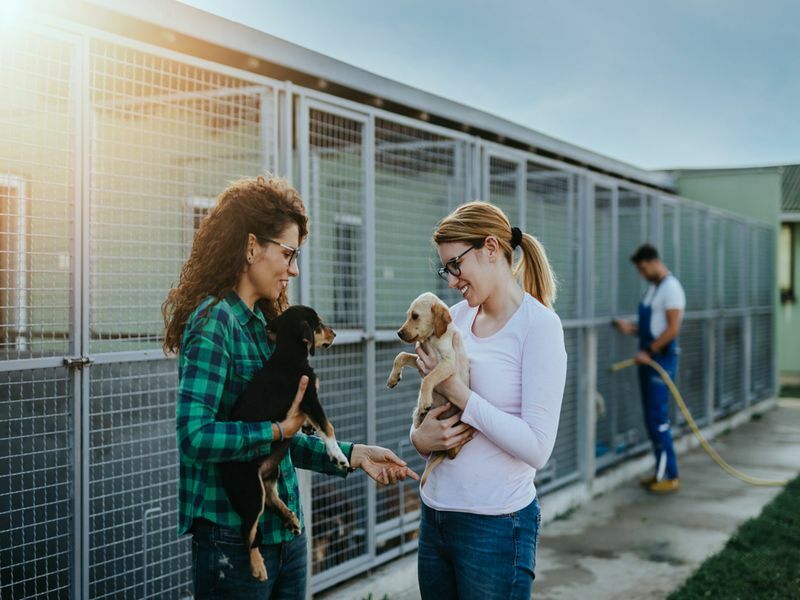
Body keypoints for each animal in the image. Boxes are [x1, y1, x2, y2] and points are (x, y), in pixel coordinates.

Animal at [219, 308, 346, 580]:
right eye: (319, 324)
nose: (334, 333)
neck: (288, 353)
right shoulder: (310, 397)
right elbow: (328, 426)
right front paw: (338, 455)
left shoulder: (307, 403)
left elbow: (317, 424)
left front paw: (308, 428)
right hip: (250, 491)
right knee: (248, 532)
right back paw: (257, 565)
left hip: (271, 470)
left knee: (271, 497)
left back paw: (290, 518)